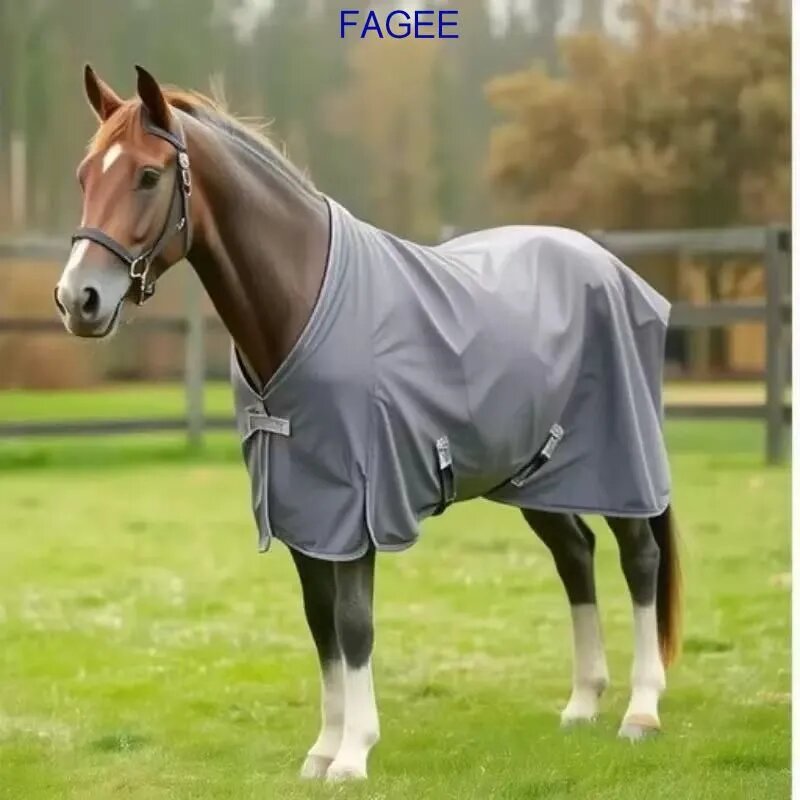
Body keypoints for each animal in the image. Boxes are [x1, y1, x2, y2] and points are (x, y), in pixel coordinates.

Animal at [55, 65, 682, 782]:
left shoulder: (359, 508)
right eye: (84, 175)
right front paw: (323, 749)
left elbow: (355, 623)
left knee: (640, 558)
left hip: (618, 462)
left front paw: (354, 754)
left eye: (148, 176)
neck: (299, 304)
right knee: (575, 555)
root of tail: (611, 268)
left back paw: (641, 711)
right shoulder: (304, 512)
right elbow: (321, 620)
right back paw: (582, 704)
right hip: (534, 473)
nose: (78, 300)